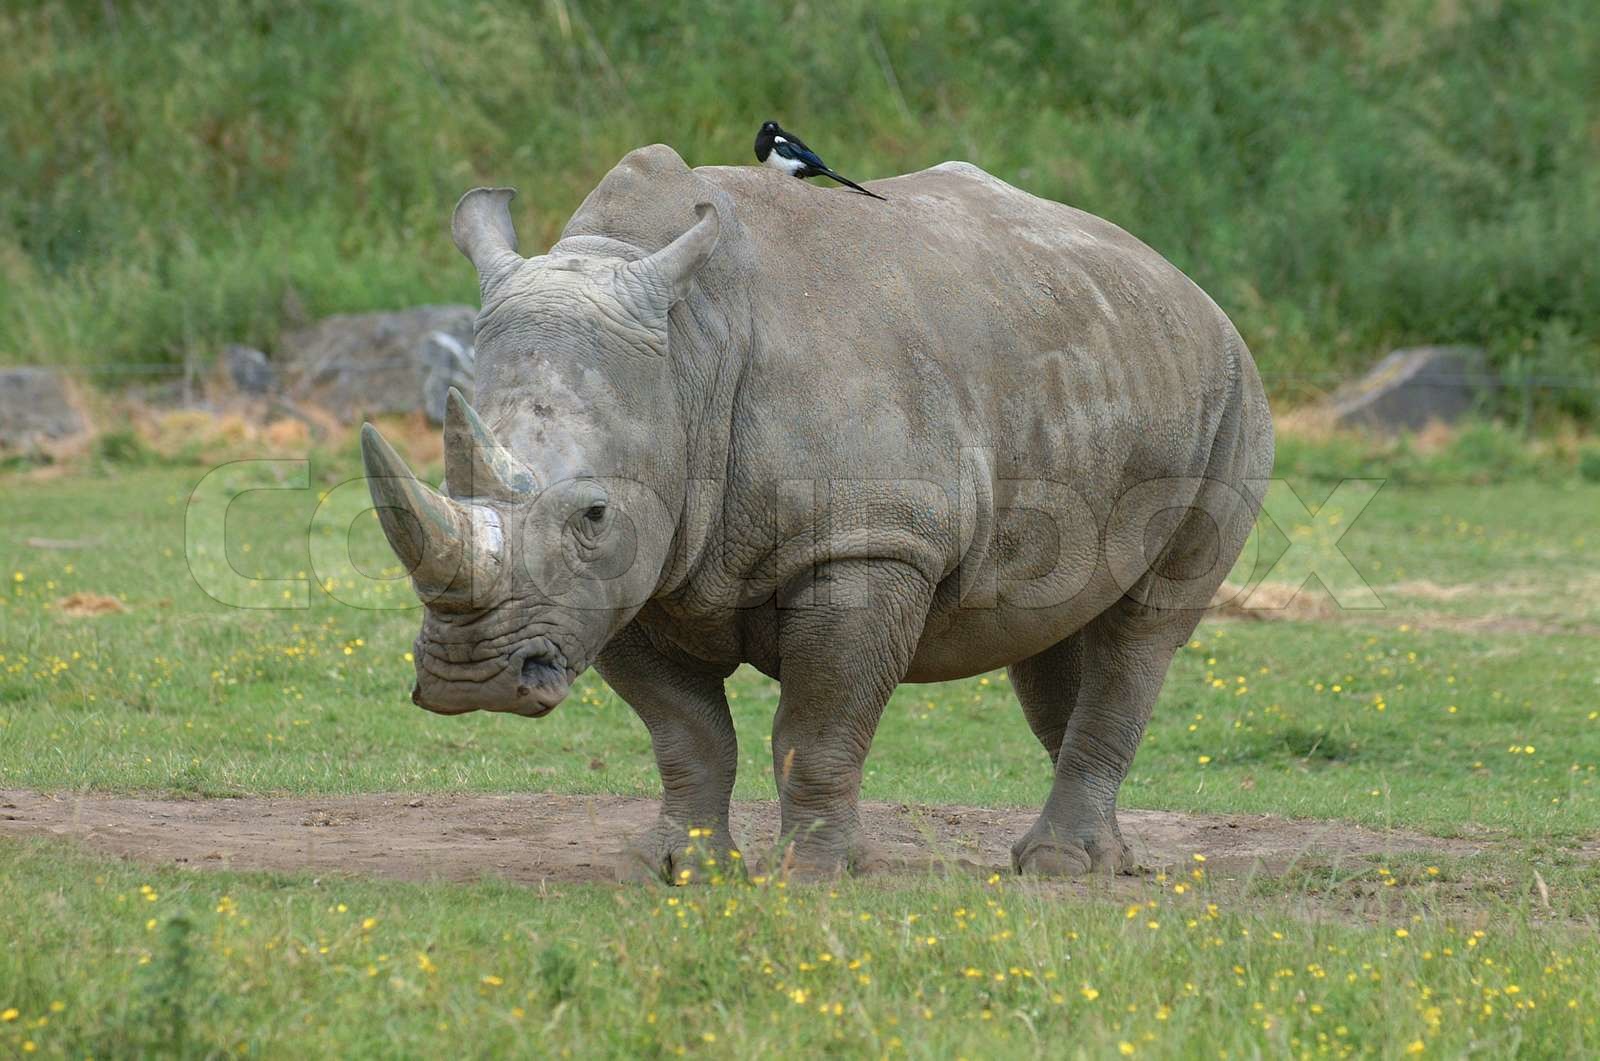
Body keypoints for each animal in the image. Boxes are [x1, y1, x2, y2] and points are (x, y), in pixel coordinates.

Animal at [360, 144, 1274, 881]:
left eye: (592, 513)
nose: (471, 680)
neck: (687, 357)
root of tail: (1182, 282)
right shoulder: (625, 575)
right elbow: (687, 732)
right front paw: (678, 869)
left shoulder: (865, 542)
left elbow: (818, 724)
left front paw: (813, 876)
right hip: (1102, 361)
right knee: (1049, 621)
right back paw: (1098, 859)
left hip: (1235, 391)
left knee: (1144, 627)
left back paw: (1061, 866)